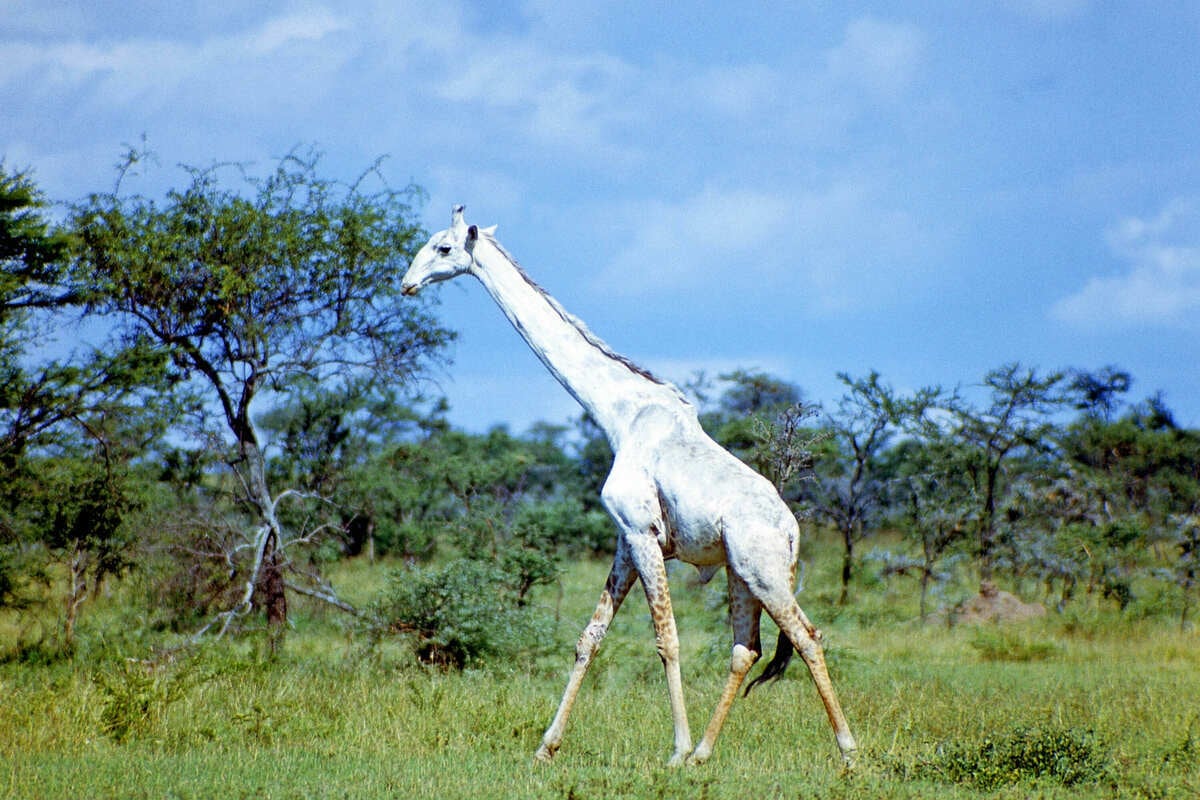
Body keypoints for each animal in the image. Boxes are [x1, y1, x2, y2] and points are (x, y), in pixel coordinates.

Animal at [400, 206, 857, 768]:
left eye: (443, 248)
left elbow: (667, 639)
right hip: (740, 573)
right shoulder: (624, 539)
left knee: (808, 637)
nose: (407, 283)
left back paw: (846, 753)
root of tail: (792, 531)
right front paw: (546, 748)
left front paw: (673, 751)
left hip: (764, 570)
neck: (620, 414)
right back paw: (705, 753)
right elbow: (590, 637)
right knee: (745, 649)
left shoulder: (642, 532)